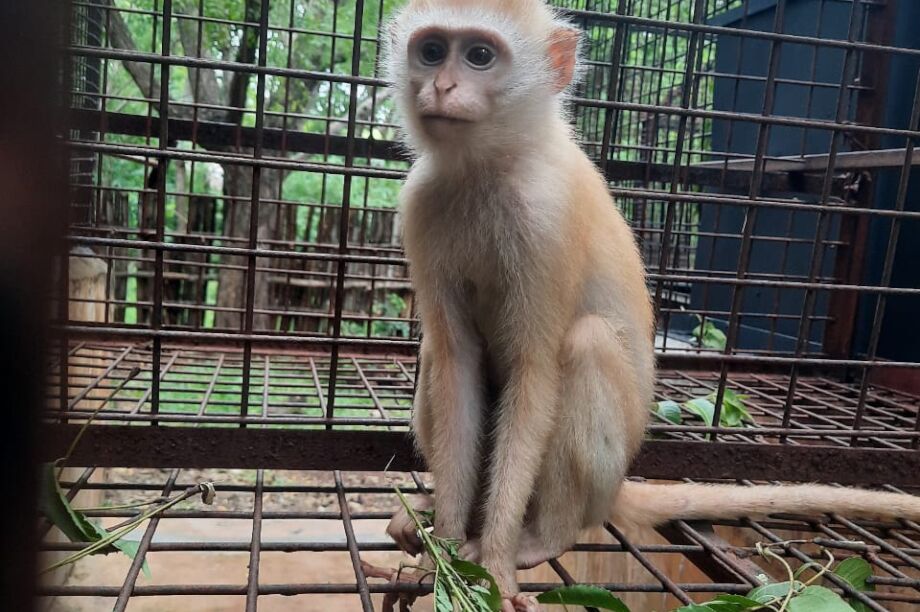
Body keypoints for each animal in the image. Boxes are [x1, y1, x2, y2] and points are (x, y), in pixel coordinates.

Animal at [379, 1, 920, 610]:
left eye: (478, 56)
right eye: (431, 52)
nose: (442, 86)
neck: (493, 165)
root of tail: (615, 488)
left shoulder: (545, 218)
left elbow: (533, 373)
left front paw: (492, 564)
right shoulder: (422, 203)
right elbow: (457, 363)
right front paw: (442, 548)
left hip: (601, 476)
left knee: (586, 344)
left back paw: (546, 535)